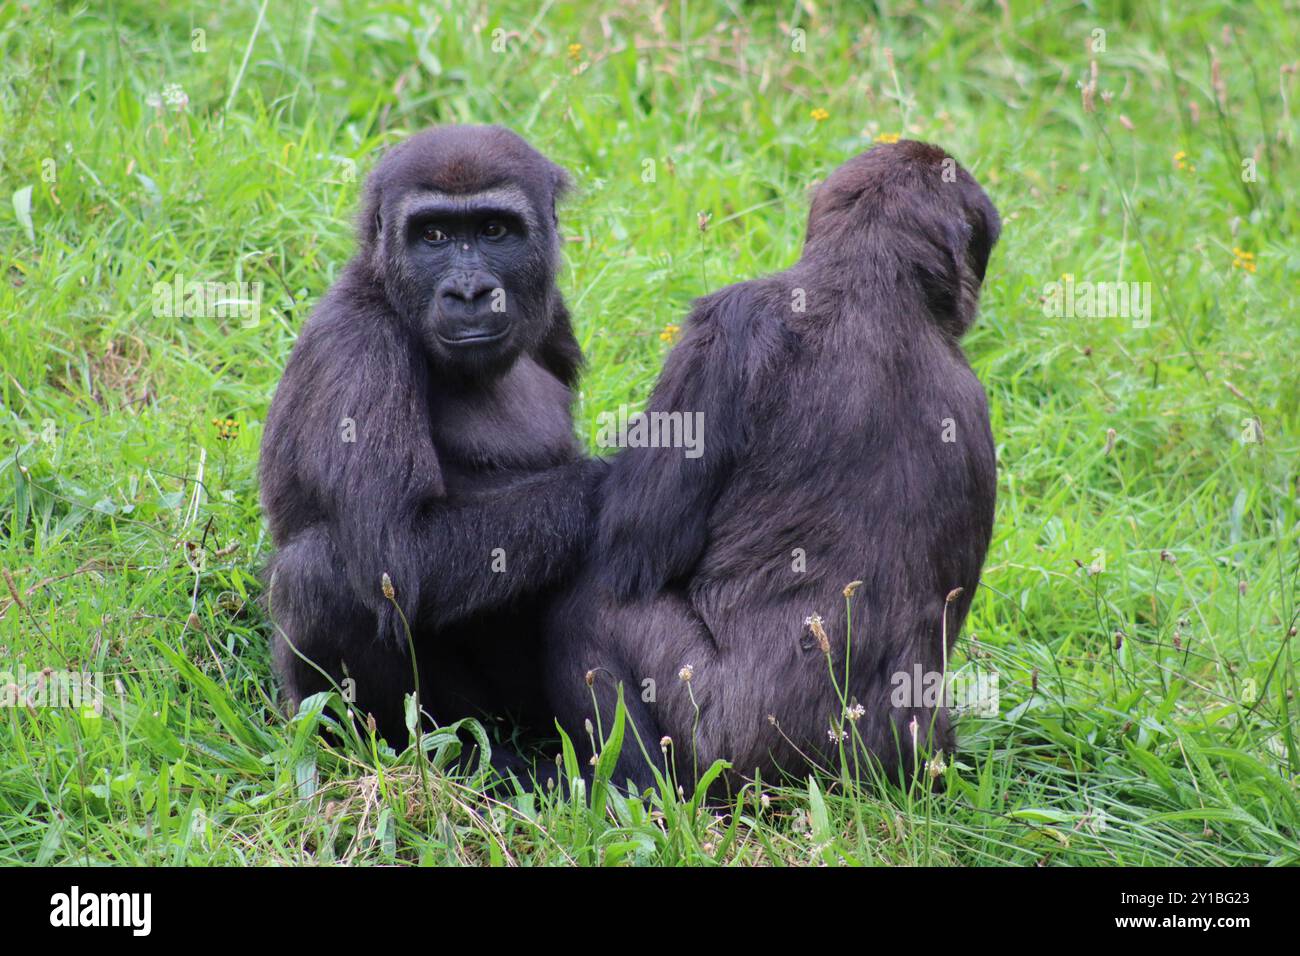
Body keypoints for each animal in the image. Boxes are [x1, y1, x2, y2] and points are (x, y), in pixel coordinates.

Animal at [260, 125, 600, 778]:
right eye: (434, 235)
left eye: (493, 230)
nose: (468, 292)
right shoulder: (359, 346)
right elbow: (400, 552)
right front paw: (635, 480)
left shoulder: (556, 320)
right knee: (320, 574)